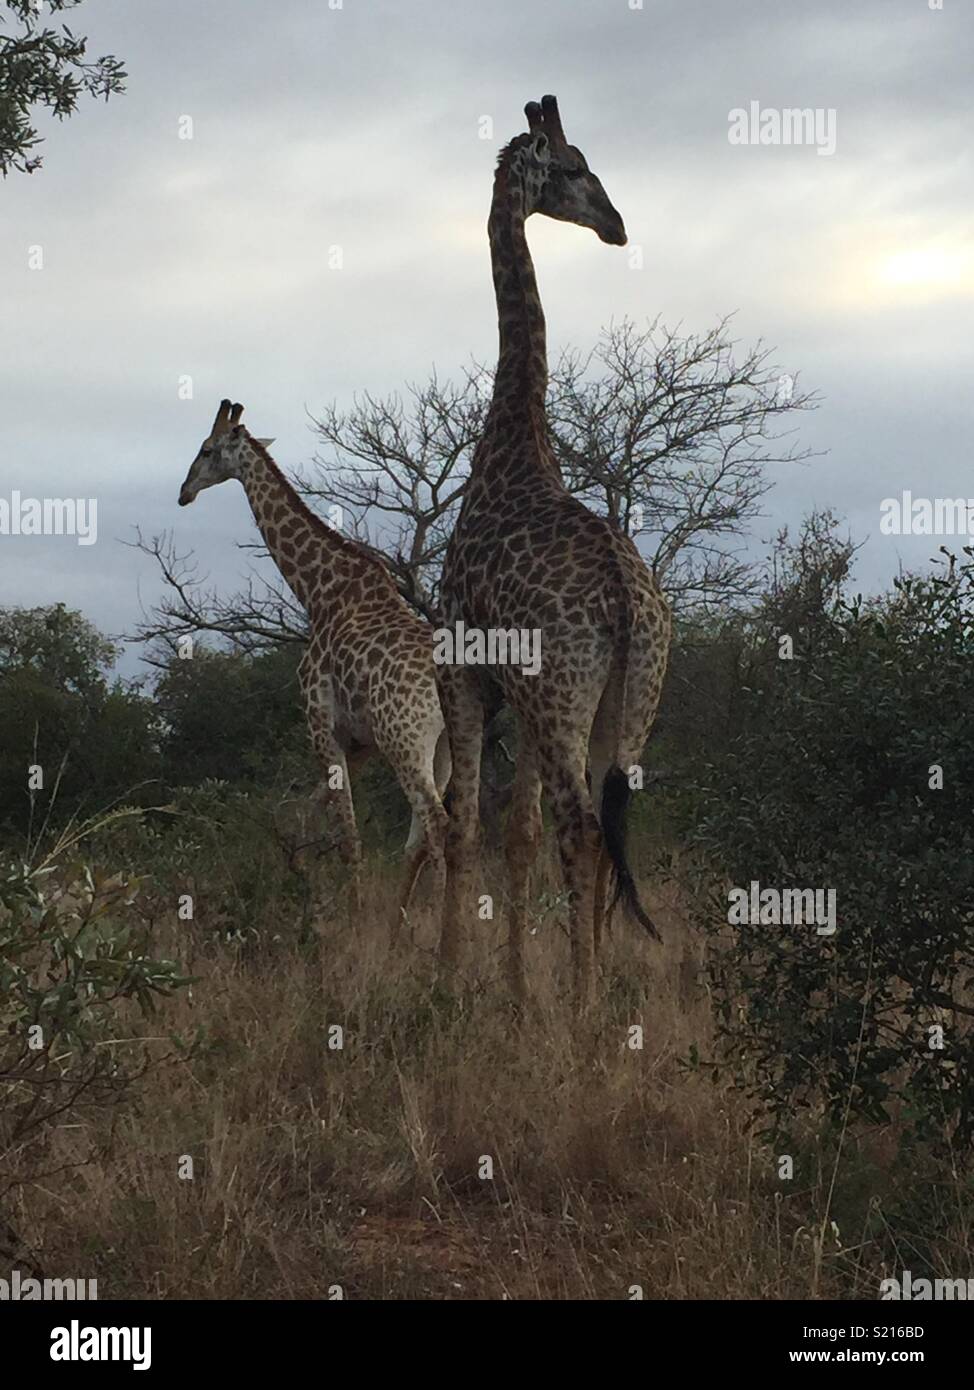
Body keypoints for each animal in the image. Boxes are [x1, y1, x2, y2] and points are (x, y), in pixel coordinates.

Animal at [177, 399, 450, 932]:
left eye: (206, 449)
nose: (184, 492)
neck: (318, 591)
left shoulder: (322, 724)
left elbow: (347, 834)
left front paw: (352, 920)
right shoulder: (359, 742)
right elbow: (302, 808)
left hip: (407, 739)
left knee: (435, 821)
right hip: (446, 747)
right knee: (433, 832)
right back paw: (412, 926)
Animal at [437, 96, 671, 1010]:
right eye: (575, 168)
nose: (617, 223)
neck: (515, 441)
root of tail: (627, 600)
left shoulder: (467, 675)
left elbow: (467, 827)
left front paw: (454, 980)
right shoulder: (522, 700)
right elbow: (520, 833)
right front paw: (510, 991)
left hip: (565, 695)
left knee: (582, 828)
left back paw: (581, 1006)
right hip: (627, 705)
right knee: (607, 826)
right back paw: (593, 992)